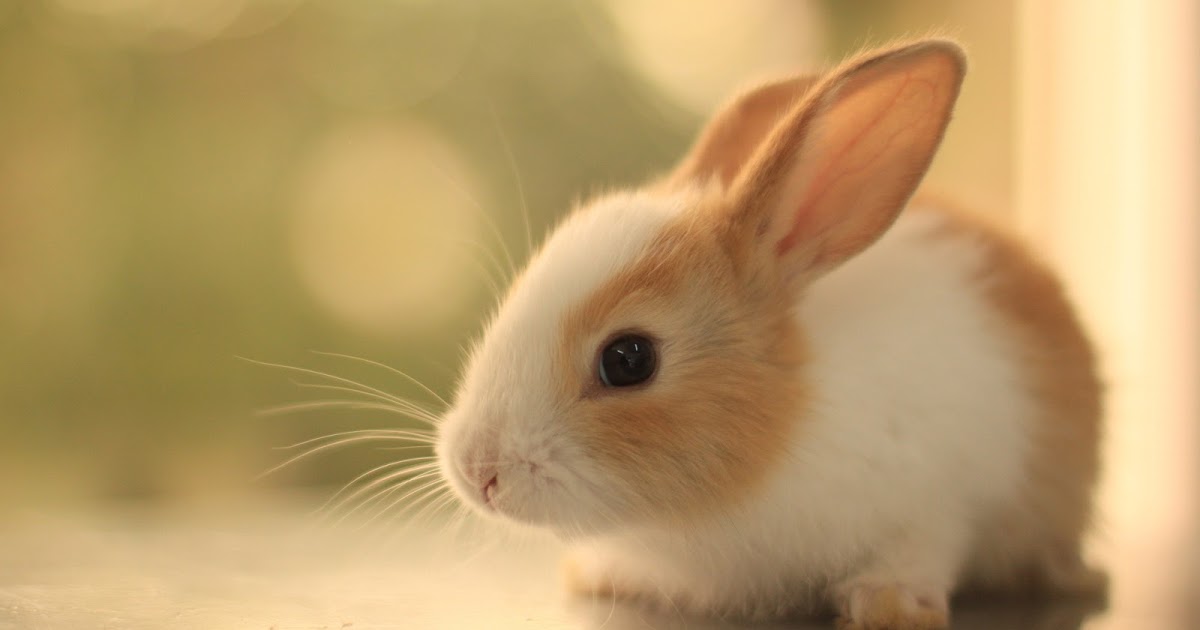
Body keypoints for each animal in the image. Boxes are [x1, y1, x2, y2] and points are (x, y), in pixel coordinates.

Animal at [435, 39, 1105, 629]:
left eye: (628, 359)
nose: (478, 471)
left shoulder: (938, 500)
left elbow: (919, 549)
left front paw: (888, 604)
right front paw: (600, 574)